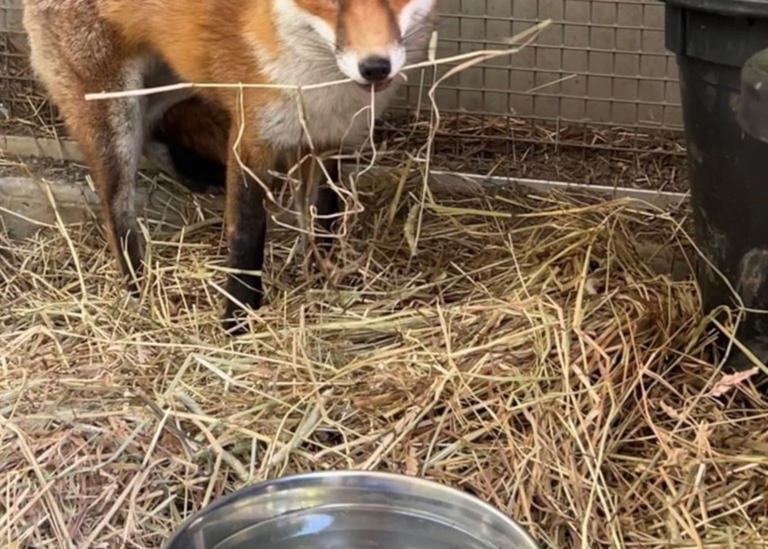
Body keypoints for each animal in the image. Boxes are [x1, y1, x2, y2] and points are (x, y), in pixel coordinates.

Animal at [22, 0, 436, 331]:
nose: (375, 67)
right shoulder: (251, 136)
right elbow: (248, 233)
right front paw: (237, 319)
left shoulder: (325, 139)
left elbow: (324, 217)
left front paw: (325, 278)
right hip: (113, 111)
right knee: (116, 211)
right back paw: (138, 288)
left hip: (176, 79)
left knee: (154, 129)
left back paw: (194, 176)